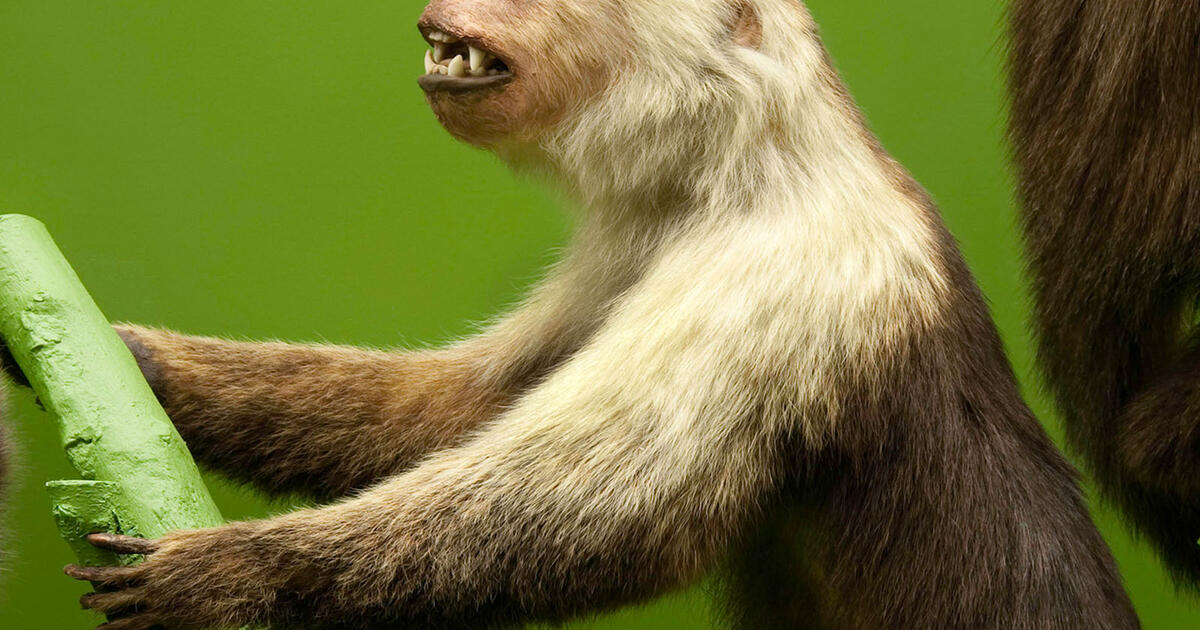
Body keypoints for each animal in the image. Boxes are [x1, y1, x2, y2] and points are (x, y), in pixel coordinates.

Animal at [0, 1, 1140, 628]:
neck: (739, 171)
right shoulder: (632, 237)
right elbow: (455, 410)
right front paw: (138, 365)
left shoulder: (791, 273)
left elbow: (612, 510)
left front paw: (234, 577)